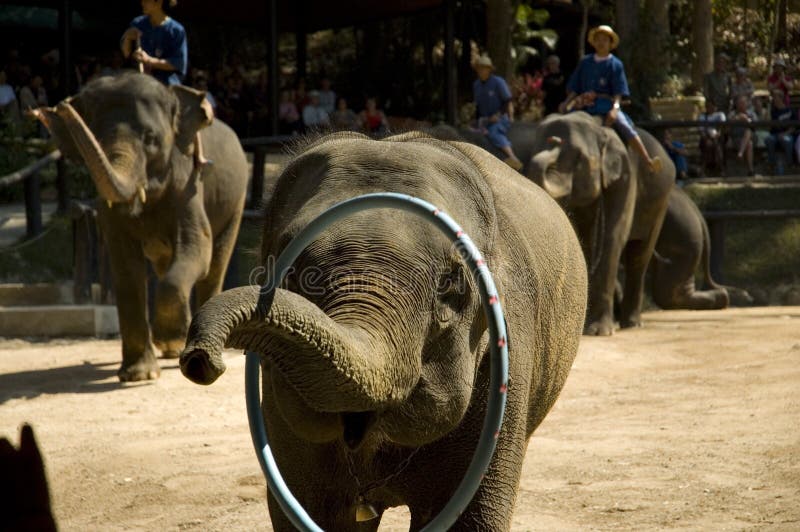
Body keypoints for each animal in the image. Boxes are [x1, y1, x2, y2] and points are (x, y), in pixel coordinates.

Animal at [36, 72, 248, 381]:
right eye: (96, 137)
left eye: (151, 139)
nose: (60, 105)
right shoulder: (109, 210)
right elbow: (125, 266)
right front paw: (139, 375)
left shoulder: (188, 182)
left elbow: (198, 246)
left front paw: (169, 337)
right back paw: (173, 350)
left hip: (236, 199)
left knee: (215, 262)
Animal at [179, 131, 587, 530]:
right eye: (291, 272)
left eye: (450, 284)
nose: (199, 360)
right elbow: (310, 512)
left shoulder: (505, 365)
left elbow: (474, 520)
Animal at [527, 112, 674, 335]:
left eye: (579, 157)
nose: (554, 141)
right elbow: (582, 237)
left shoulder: (626, 175)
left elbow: (614, 236)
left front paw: (598, 331)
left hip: (661, 201)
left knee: (639, 254)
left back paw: (632, 324)